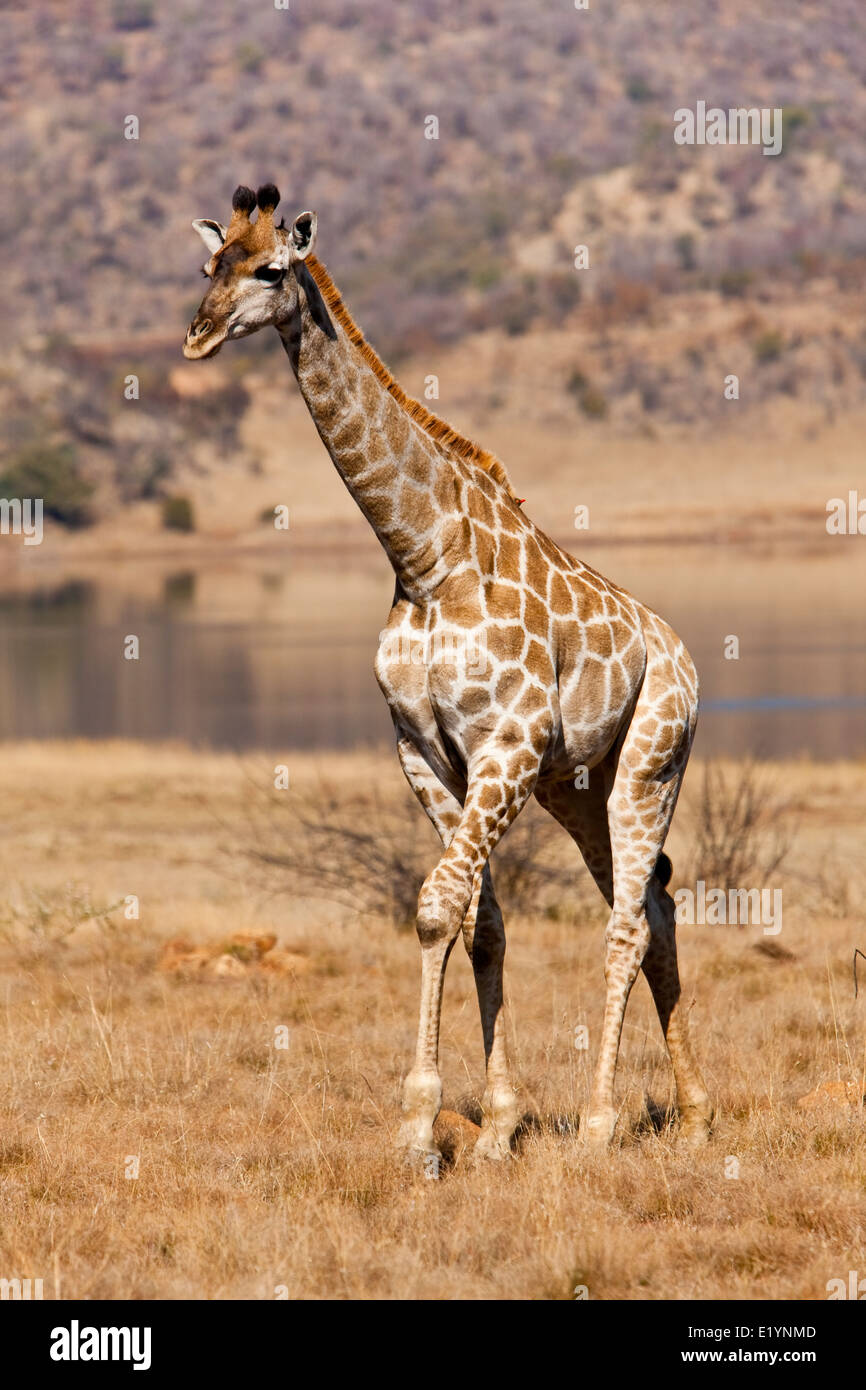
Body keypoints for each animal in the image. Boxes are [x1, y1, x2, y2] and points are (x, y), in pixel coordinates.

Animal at [183, 184, 714, 1164]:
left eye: (270, 269)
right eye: (210, 265)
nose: (197, 336)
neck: (425, 557)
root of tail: (685, 657)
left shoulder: (507, 743)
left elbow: (437, 907)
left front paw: (420, 1125)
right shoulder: (429, 752)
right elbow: (482, 924)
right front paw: (496, 1127)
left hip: (651, 765)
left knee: (626, 921)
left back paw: (599, 1123)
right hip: (579, 786)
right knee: (654, 907)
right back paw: (695, 1113)